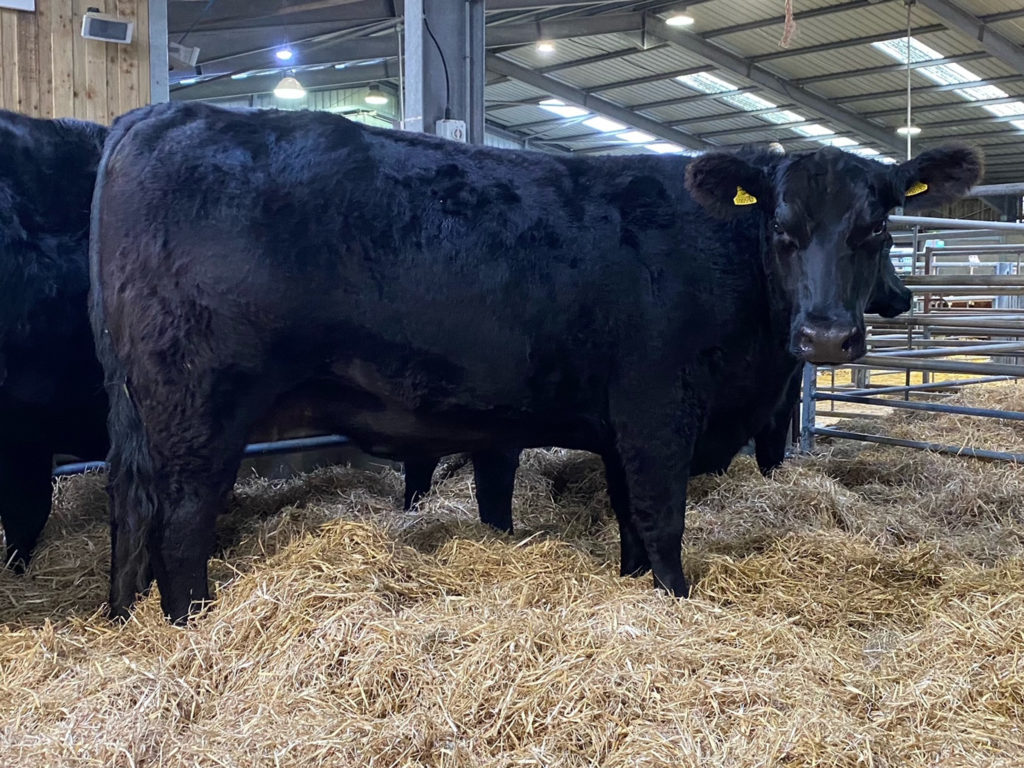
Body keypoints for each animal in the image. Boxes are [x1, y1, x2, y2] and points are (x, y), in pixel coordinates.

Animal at [89, 101, 980, 622]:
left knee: (130, 513)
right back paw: (192, 621)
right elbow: (662, 518)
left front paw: (635, 588)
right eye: (783, 229)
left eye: (876, 229)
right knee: (180, 523)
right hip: (198, 408)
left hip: (143, 413)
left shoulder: (625, 425)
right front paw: (678, 602)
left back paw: (125, 618)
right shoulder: (658, 408)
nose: (827, 337)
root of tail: (164, 113)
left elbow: (630, 521)